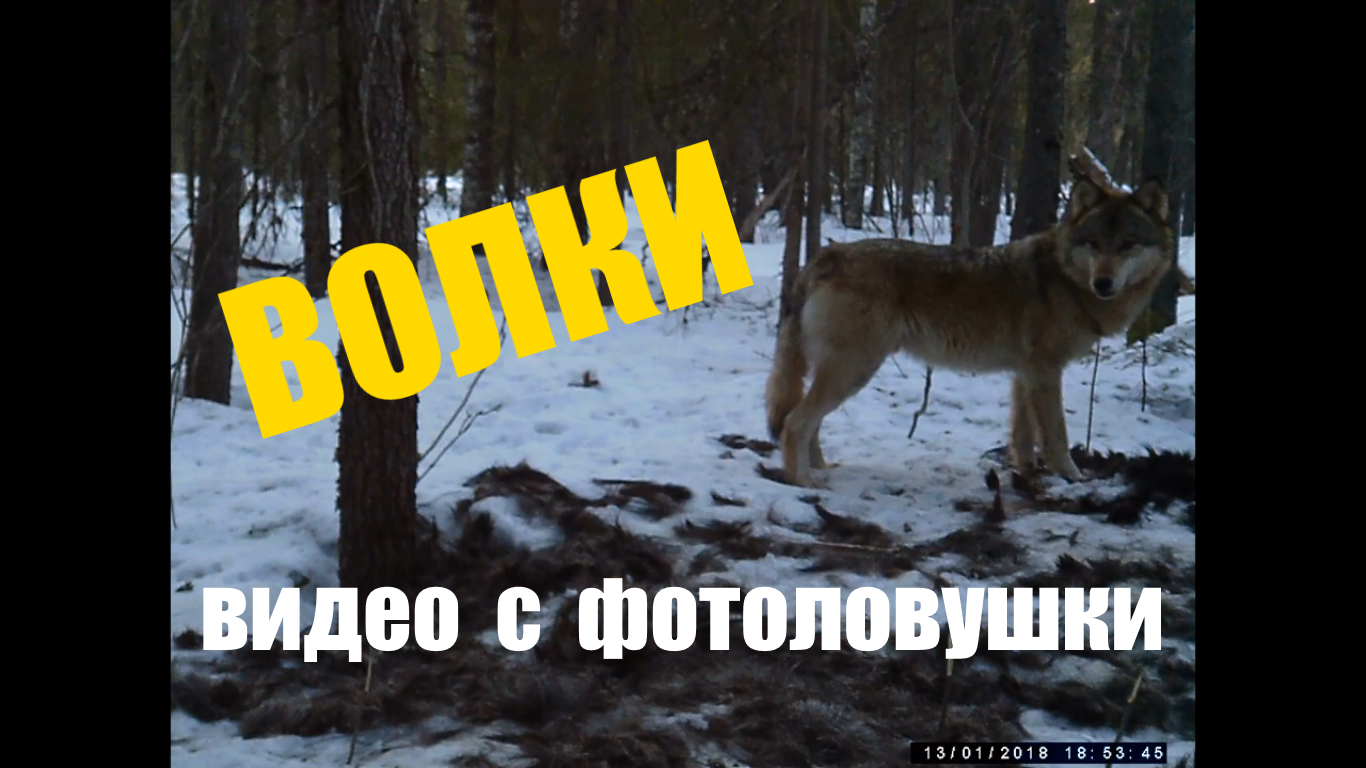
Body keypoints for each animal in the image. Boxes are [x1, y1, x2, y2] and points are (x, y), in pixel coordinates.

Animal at [764, 177, 1175, 489]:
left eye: (1128, 245)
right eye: (1094, 244)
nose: (1103, 283)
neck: (1068, 282)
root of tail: (825, 256)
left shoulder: (1025, 374)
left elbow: (1024, 436)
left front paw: (1027, 477)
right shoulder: (1045, 372)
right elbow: (1057, 434)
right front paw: (1072, 478)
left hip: (845, 371)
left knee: (808, 421)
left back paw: (820, 469)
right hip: (854, 369)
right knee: (796, 422)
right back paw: (803, 480)